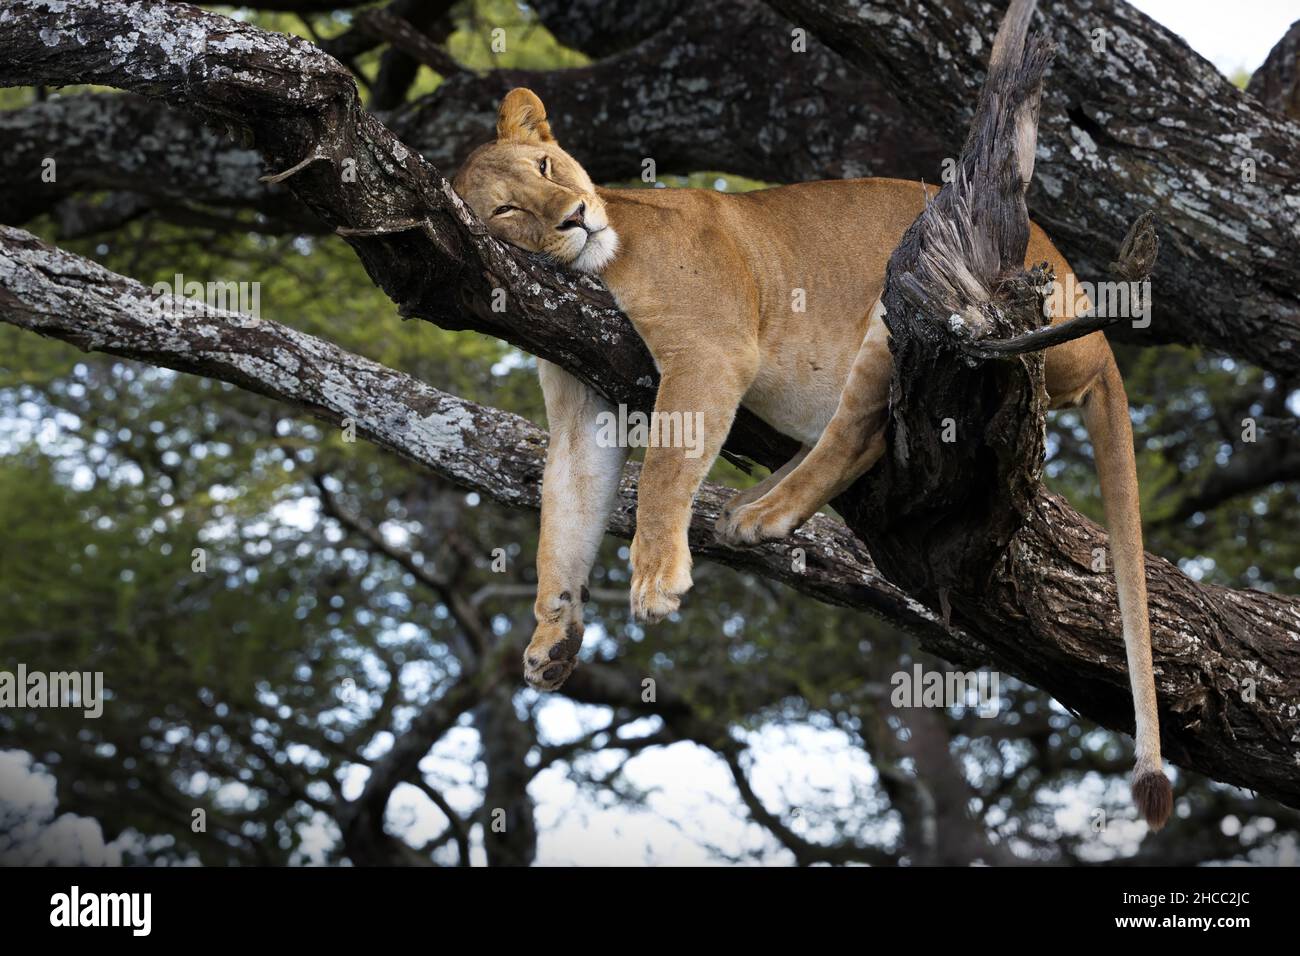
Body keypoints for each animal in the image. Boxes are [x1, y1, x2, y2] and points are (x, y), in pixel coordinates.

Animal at [452, 78, 1171, 829]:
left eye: (545, 167)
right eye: (505, 209)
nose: (573, 218)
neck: (599, 258)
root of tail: (1099, 341)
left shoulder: (709, 351)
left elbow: (663, 473)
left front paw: (655, 576)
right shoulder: (581, 403)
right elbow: (561, 524)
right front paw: (552, 639)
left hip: (909, 292)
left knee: (863, 435)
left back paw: (765, 516)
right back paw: (749, 506)